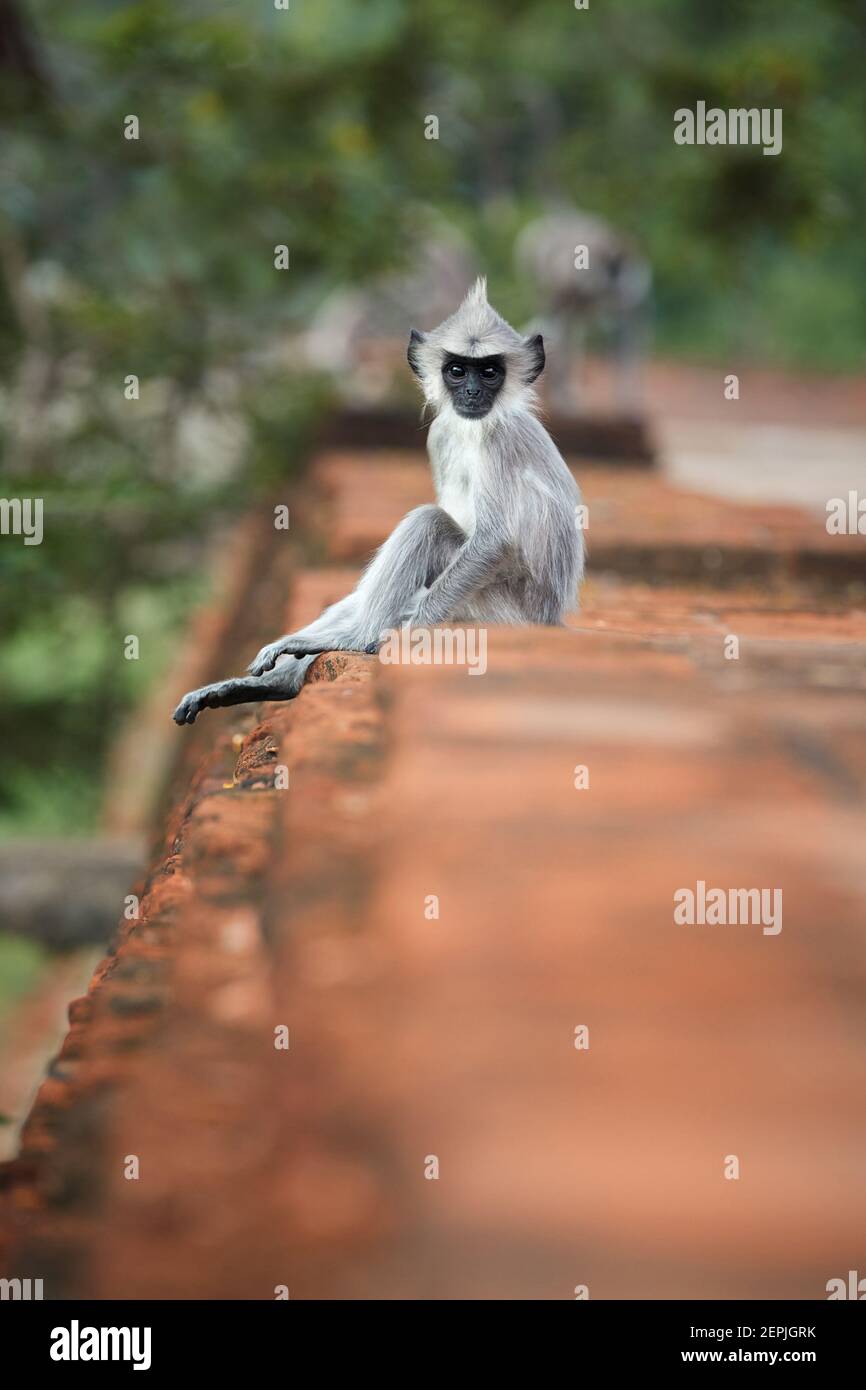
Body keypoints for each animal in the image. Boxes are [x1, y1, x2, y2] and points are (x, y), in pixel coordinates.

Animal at [172, 278, 584, 725]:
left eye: (489, 371)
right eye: (457, 370)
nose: (473, 391)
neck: (475, 428)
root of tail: (550, 618)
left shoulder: (502, 441)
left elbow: (493, 542)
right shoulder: (440, 434)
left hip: (499, 612)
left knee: (428, 524)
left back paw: (357, 637)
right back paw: (278, 680)